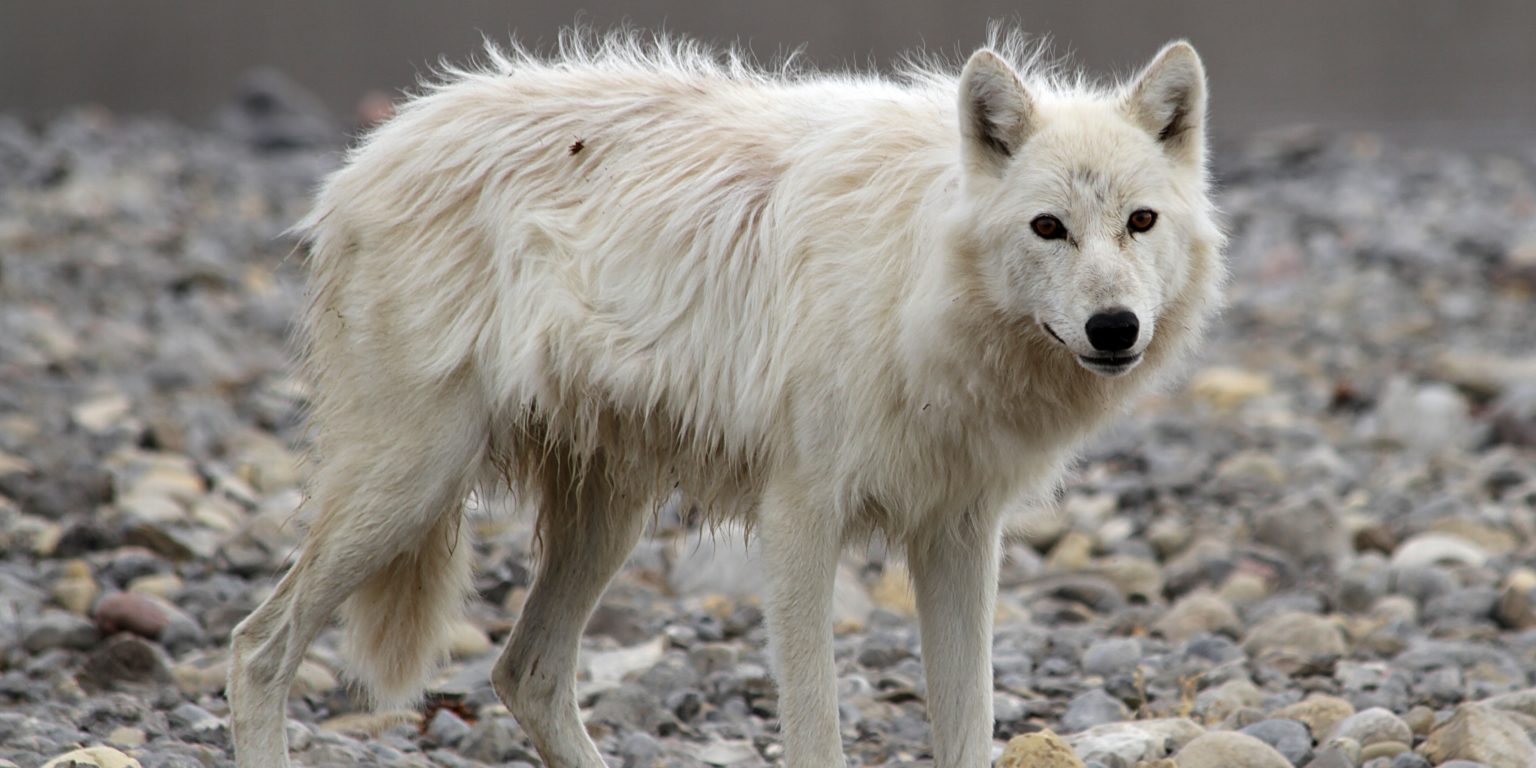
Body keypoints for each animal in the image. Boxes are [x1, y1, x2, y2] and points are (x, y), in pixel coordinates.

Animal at [228, 30, 1225, 768]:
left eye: (1140, 222)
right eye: (1048, 227)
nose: (1113, 328)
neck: (915, 279)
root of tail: (365, 157)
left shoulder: (959, 534)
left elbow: (969, 730)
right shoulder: (801, 521)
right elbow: (816, 732)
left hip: (607, 519)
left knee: (526, 673)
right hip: (411, 485)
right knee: (259, 648)